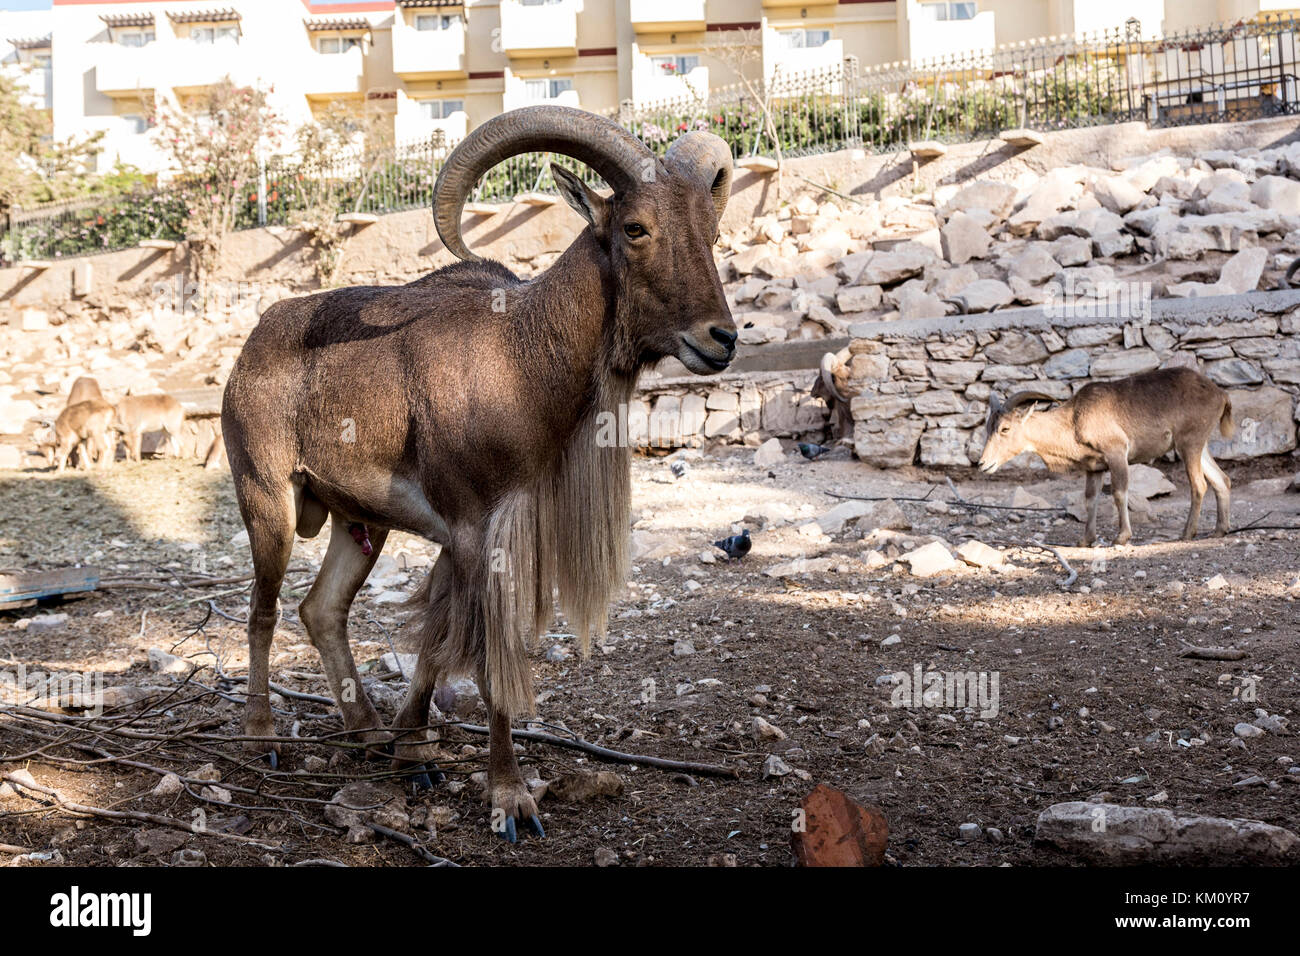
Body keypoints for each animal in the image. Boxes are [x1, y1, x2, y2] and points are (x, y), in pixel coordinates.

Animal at [220, 106, 737, 842]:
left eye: (711, 231)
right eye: (636, 228)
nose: (721, 339)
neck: (519, 357)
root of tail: (249, 344)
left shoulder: (468, 540)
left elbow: (438, 643)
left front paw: (412, 754)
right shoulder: (476, 530)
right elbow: (485, 658)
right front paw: (510, 799)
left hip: (359, 522)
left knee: (321, 608)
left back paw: (365, 731)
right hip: (267, 499)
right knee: (262, 612)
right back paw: (262, 735)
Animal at [978, 367, 1233, 547]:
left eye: (1005, 429)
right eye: (988, 427)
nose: (983, 464)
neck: (1074, 420)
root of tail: (1220, 394)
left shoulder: (1116, 452)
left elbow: (1119, 493)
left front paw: (1121, 537)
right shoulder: (1094, 467)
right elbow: (1091, 499)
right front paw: (1085, 540)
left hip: (1189, 443)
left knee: (1199, 484)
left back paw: (1187, 533)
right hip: (1198, 445)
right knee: (1222, 480)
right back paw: (1220, 529)